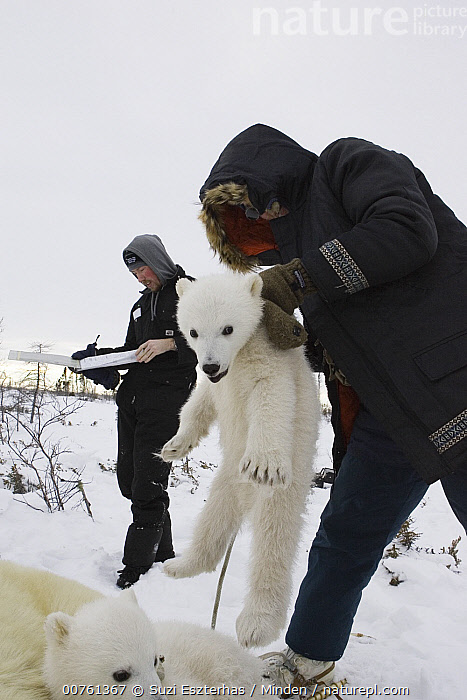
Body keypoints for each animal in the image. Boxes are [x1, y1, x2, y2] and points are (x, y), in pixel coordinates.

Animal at [160, 272, 319, 648]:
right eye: (193, 331)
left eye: (228, 328)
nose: (210, 364)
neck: (238, 358)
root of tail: (248, 499)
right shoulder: (215, 384)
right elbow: (199, 402)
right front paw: (174, 445)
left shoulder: (270, 361)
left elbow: (271, 398)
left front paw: (262, 464)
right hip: (227, 477)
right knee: (215, 513)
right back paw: (182, 564)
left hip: (289, 482)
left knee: (274, 536)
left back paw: (256, 624)